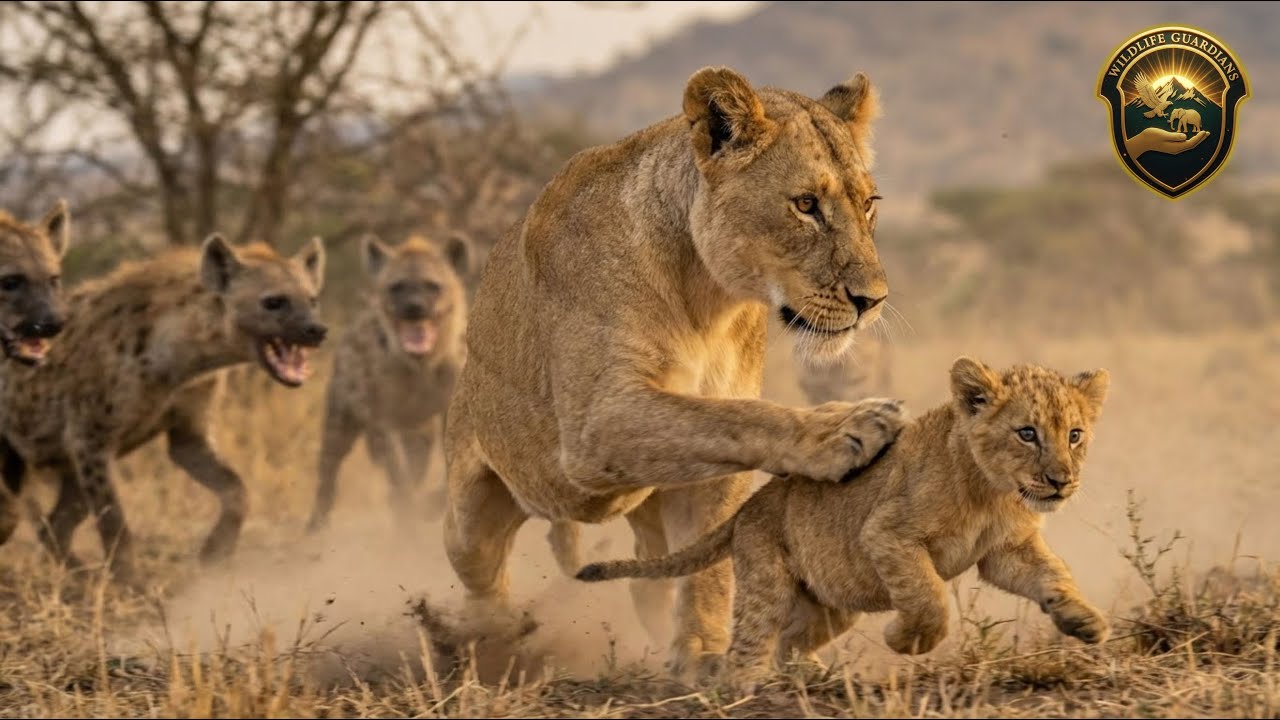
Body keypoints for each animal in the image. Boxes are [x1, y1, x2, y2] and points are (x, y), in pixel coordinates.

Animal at [444, 65, 903, 676]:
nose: (872, 301)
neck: (705, 297)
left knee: (647, 577)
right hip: (470, 510)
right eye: (806, 204)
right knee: (478, 571)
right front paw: (842, 429)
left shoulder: (703, 466)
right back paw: (487, 638)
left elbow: (709, 557)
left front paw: (702, 650)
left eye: (869, 203)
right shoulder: (595, 426)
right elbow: (741, 417)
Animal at [577, 357, 1111, 687]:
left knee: (790, 642)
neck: (992, 493)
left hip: (831, 604)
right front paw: (906, 640)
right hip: (768, 580)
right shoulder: (888, 534)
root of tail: (749, 506)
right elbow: (929, 597)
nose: (1061, 481)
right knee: (752, 639)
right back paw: (743, 685)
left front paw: (1082, 620)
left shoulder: (1006, 551)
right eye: (1027, 434)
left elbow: (1051, 575)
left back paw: (811, 675)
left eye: (1075, 435)